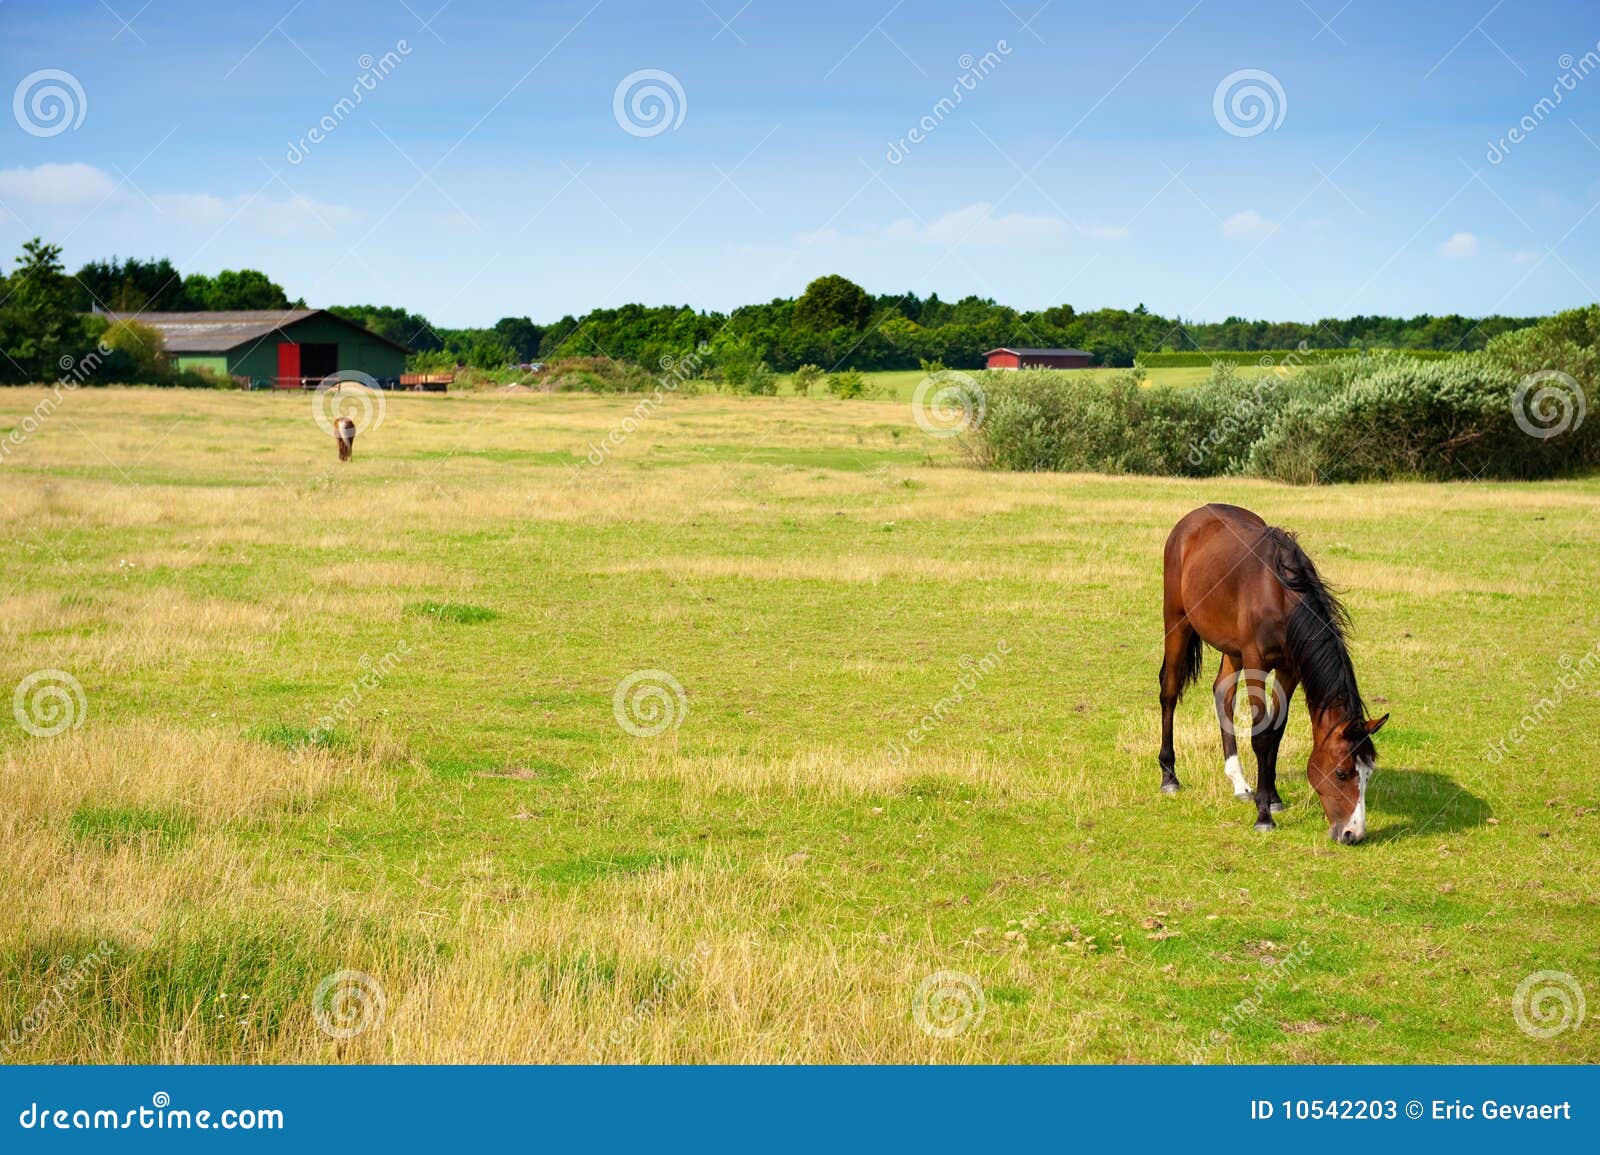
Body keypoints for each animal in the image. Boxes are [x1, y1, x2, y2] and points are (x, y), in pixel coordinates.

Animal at [1157, 504, 1388, 843]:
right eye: (1341, 772)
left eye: (1368, 774)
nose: (1352, 833)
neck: (1280, 596)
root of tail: (1193, 518)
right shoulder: (1257, 663)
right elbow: (1261, 735)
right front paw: (1264, 815)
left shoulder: (1289, 669)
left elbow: (1276, 731)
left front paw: (1273, 798)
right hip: (1177, 622)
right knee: (1170, 691)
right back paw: (1170, 777)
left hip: (1231, 648)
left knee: (1223, 694)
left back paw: (1239, 782)